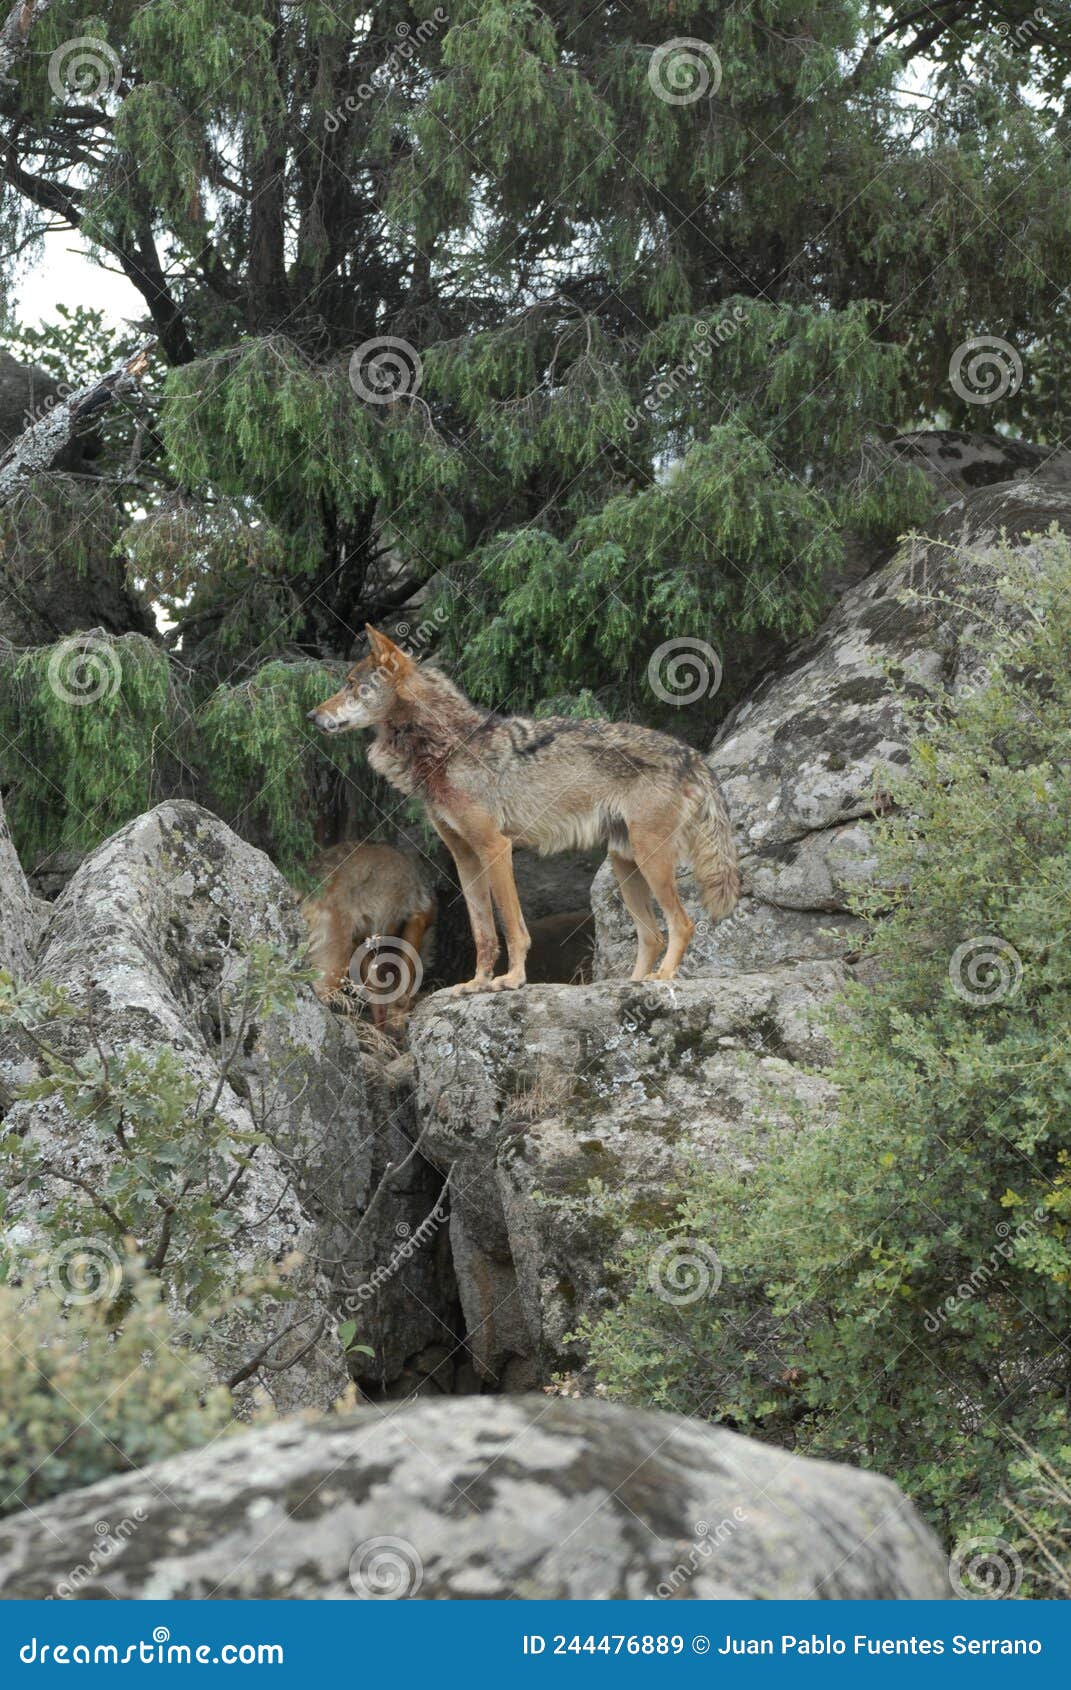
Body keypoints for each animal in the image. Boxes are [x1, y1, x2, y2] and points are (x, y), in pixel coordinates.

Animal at [307, 627, 740, 993]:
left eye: (351, 686)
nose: (311, 716)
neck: (446, 749)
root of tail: (692, 755)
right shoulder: (465, 858)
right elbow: (483, 931)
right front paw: (476, 983)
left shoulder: (496, 848)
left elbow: (513, 927)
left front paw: (512, 980)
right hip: (625, 865)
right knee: (652, 935)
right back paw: (628, 984)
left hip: (651, 862)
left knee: (682, 924)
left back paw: (662, 978)